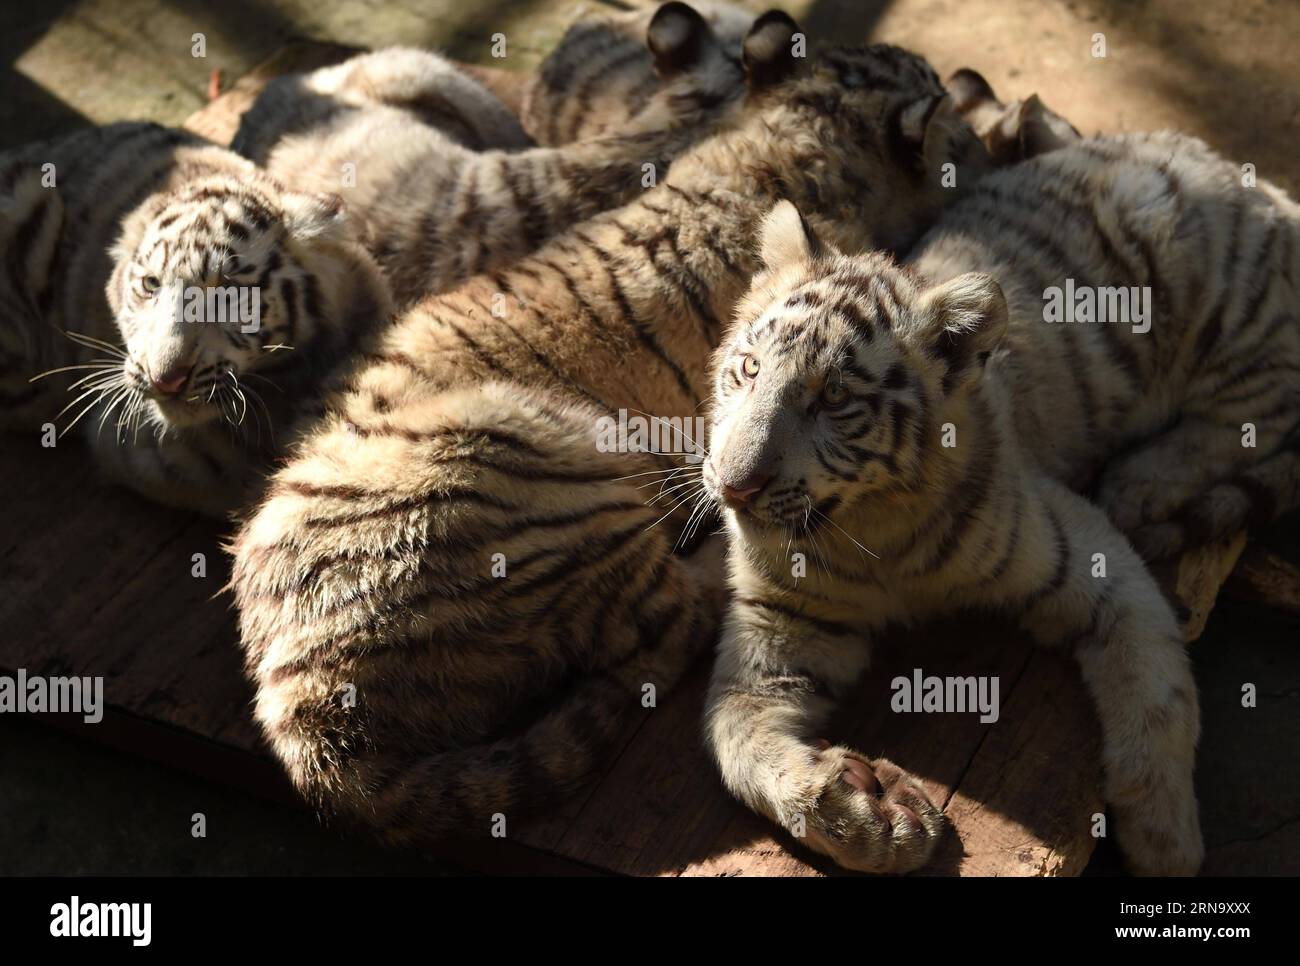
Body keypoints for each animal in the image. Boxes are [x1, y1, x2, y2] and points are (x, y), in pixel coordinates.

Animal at [701, 130, 1300, 876]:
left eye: (834, 398)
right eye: (748, 369)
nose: (734, 484)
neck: (871, 533)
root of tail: (1260, 184)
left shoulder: (1089, 551)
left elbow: (1159, 687)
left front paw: (1165, 838)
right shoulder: (783, 622)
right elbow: (731, 732)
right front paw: (862, 814)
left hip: (1239, 322)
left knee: (1261, 413)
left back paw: (1140, 482)